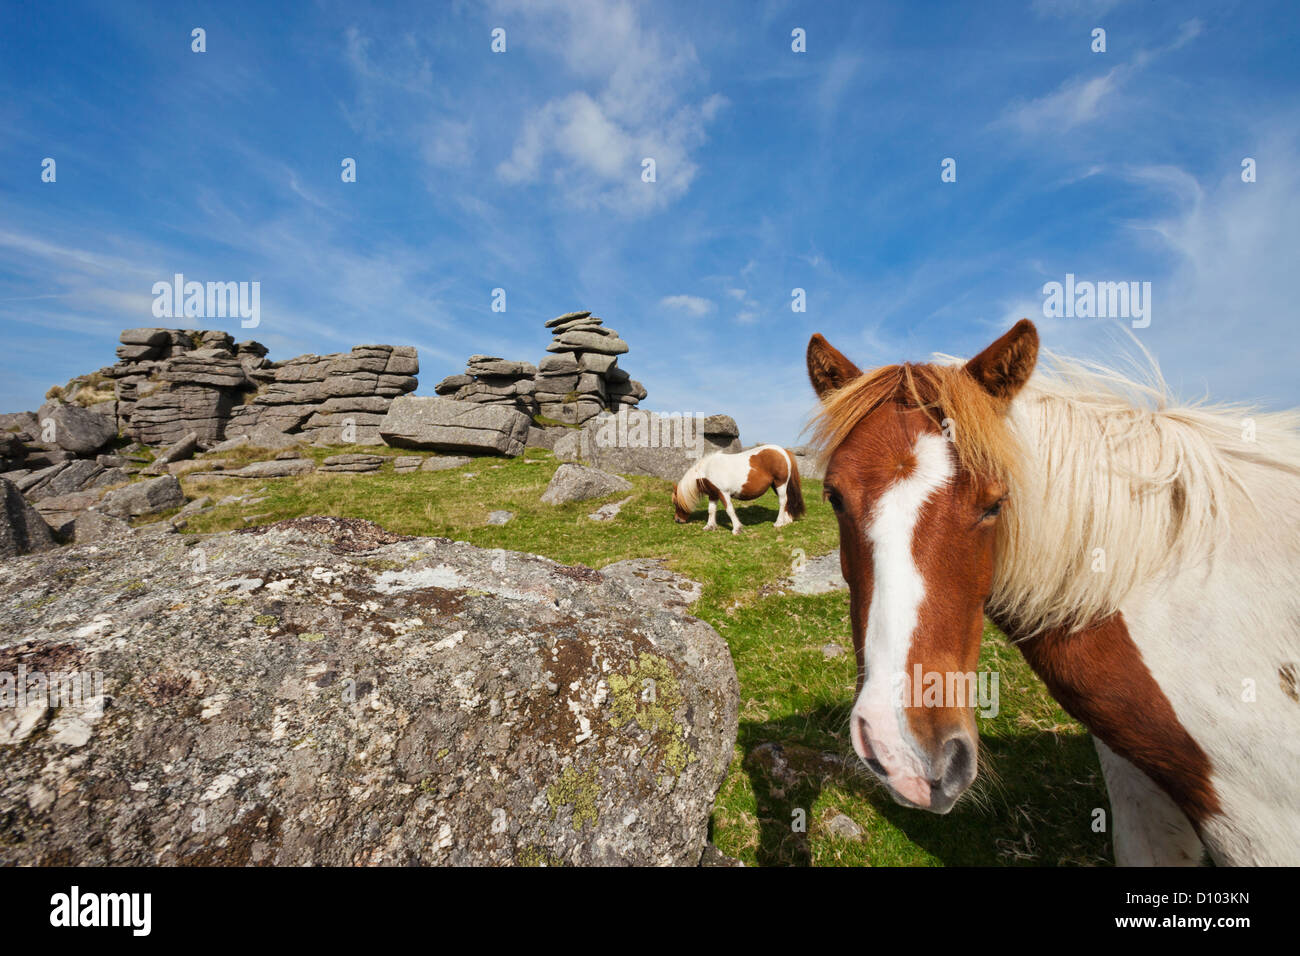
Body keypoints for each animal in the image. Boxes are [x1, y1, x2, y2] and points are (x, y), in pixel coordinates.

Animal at [672, 444, 806, 533]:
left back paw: (778, 523)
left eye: (675, 502)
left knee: (783, 501)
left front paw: (737, 528)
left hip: (780, 483)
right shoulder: (713, 494)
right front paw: (709, 526)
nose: (678, 520)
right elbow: (711, 510)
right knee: (787, 500)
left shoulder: (723, 493)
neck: (708, 469)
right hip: (776, 485)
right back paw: (786, 520)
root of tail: (783, 451)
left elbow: (729, 510)